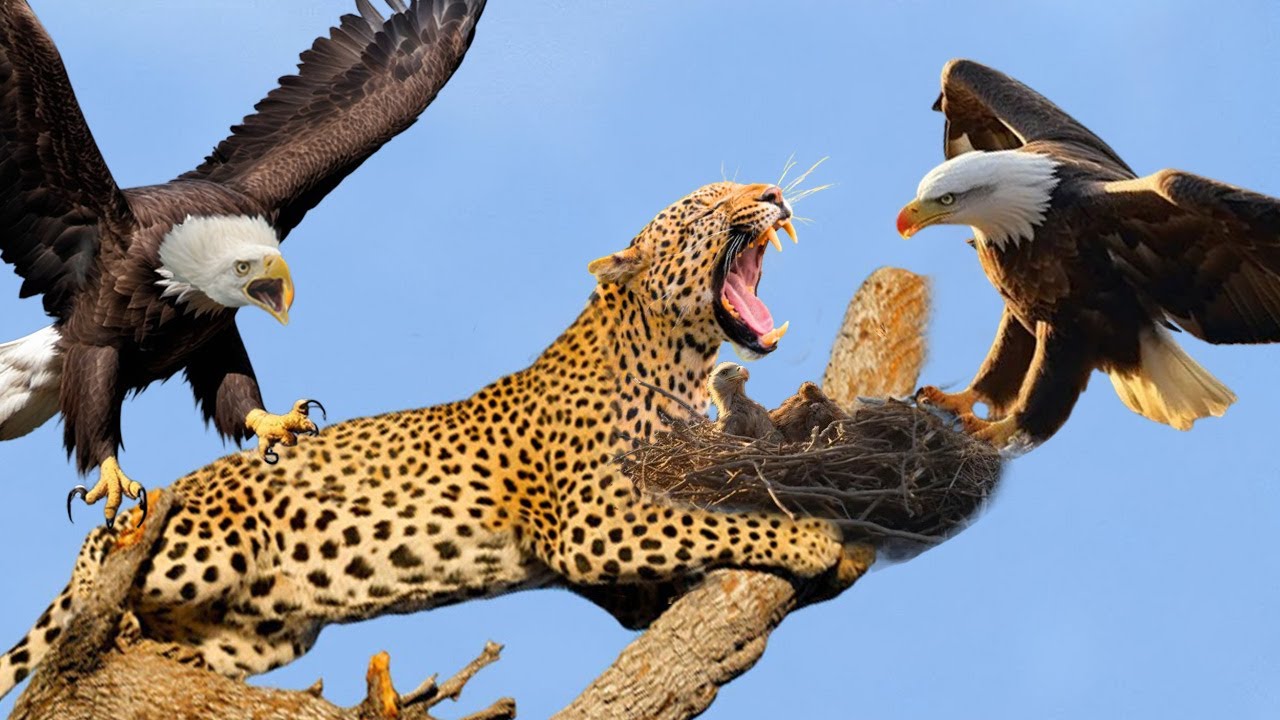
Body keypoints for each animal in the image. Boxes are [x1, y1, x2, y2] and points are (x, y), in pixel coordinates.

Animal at [0, 181, 859, 694]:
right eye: (709, 203)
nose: (773, 192)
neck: (680, 361)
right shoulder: (591, 521)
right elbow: (712, 521)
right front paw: (810, 536)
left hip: (271, 632)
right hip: (201, 546)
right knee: (93, 605)